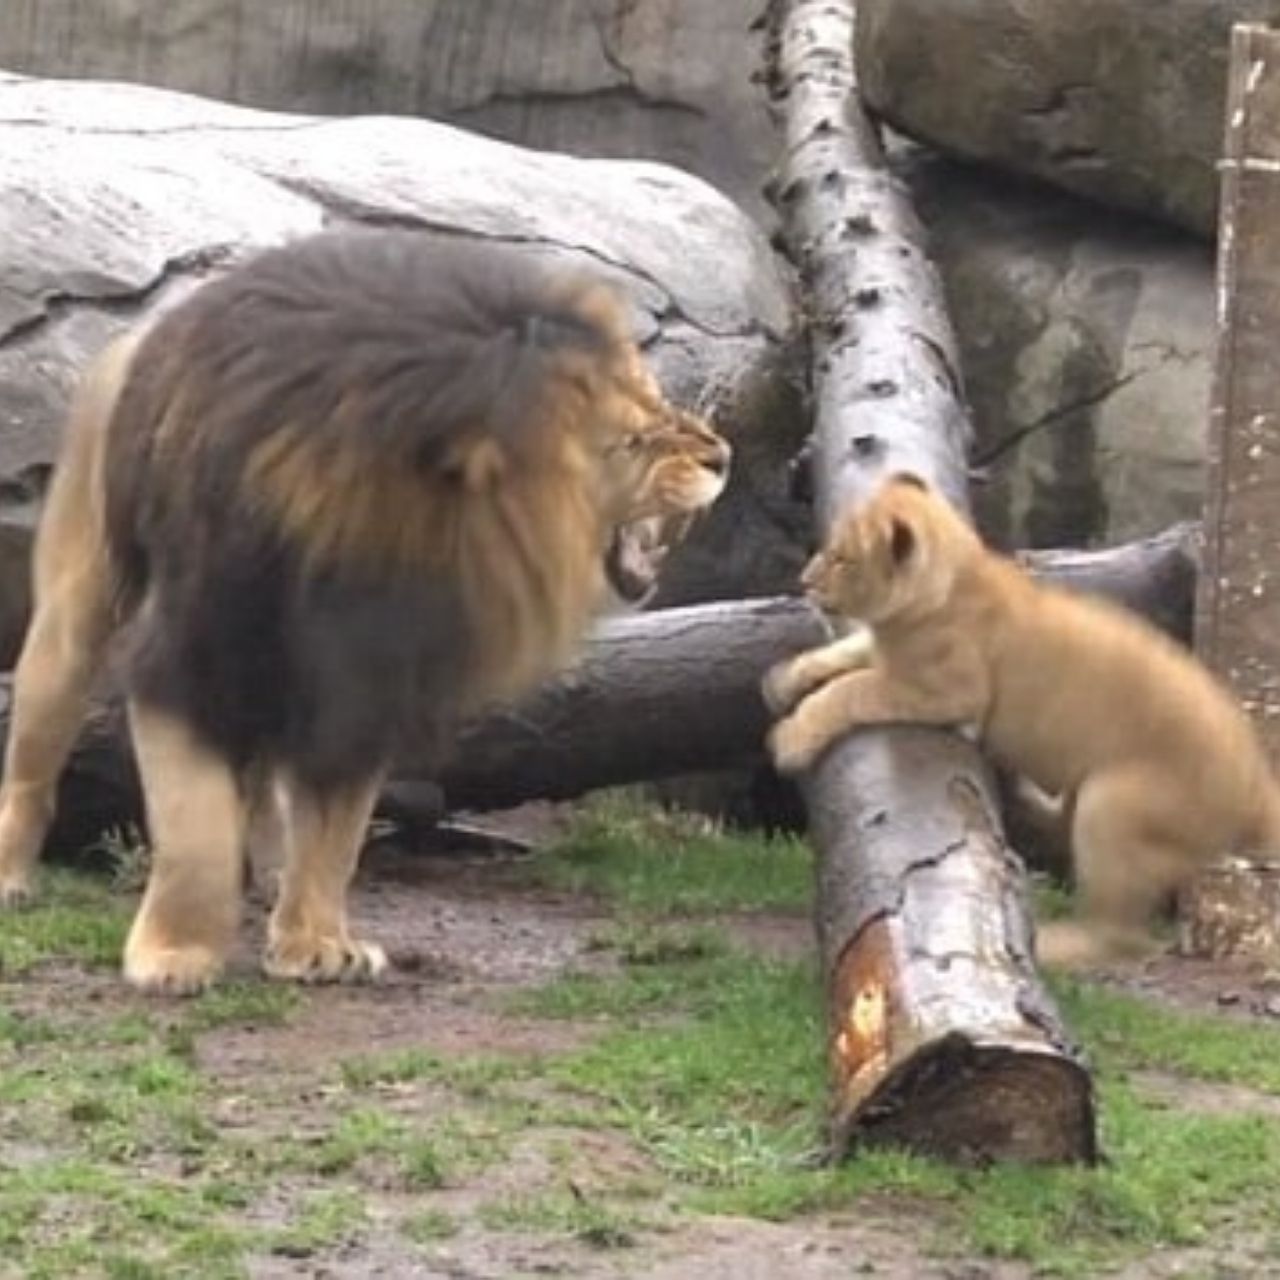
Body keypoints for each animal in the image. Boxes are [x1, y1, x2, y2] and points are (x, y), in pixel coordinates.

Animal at [0, 229, 731, 995]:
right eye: (629, 443)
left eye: (659, 404)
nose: (722, 456)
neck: (379, 536)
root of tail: (143, 332)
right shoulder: (190, 660)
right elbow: (193, 826)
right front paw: (174, 957)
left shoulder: (367, 682)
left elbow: (335, 834)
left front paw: (314, 944)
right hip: (75, 611)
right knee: (36, 757)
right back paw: (14, 878)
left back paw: (268, 872)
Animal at [763, 473, 1280, 967]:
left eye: (841, 558)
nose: (804, 581)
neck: (954, 573)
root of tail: (1256, 789)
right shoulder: (893, 653)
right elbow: (849, 652)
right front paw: (782, 680)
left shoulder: (944, 690)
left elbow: (853, 689)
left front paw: (790, 738)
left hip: (1116, 802)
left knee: (1122, 937)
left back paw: (1050, 944)